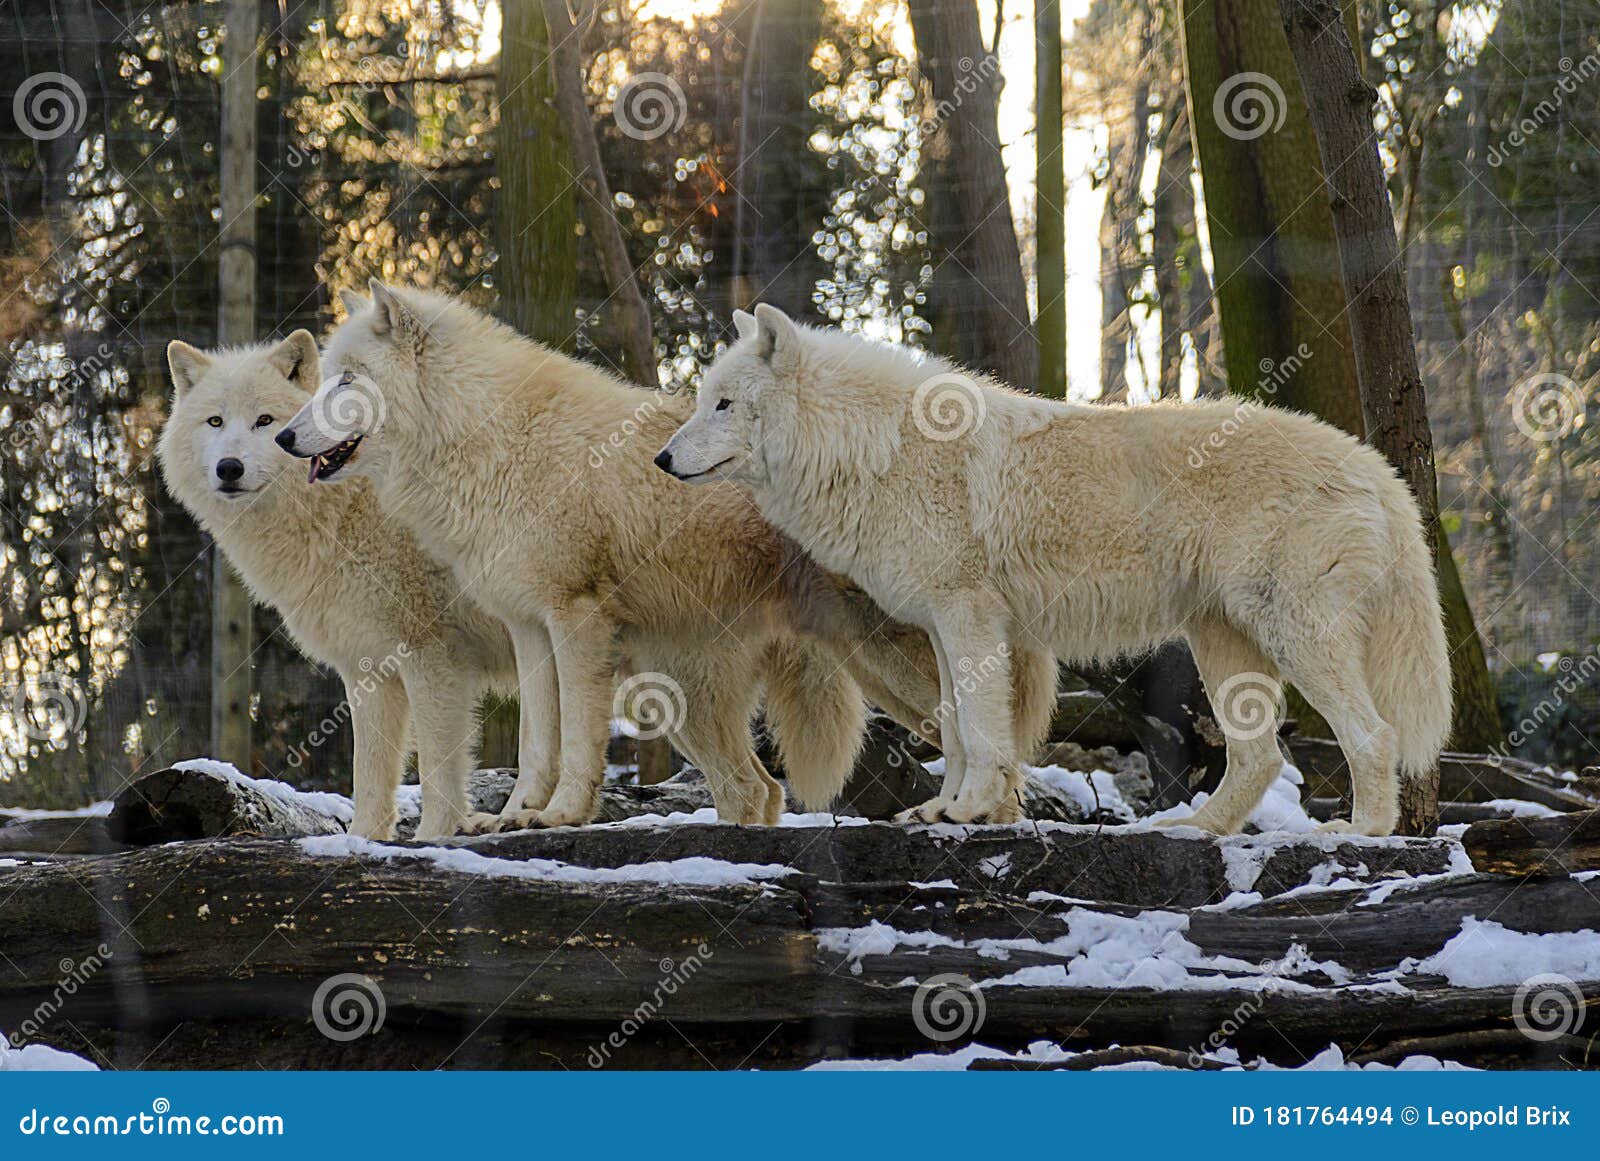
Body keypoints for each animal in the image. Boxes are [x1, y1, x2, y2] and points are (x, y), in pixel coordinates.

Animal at [158, 333, 517, 840]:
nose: (229, 468)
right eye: (215, 421)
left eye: (264, 421)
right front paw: (363, 842)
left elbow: (437, 770)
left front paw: (433, 839)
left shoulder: (432, 654)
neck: (347, 505)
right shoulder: (369, 666)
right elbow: (369, 774)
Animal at [276, 283, 1057, 830]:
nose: (283, 437)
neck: (490, 437)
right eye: (326, 376)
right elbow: (535, 740)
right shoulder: (528, 625)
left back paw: (978, 818)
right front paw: (516, 815)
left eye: (347, 379)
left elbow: (576, 740)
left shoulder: (574, 617)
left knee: (1002, 746)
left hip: (898, 661)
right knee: (759, 789)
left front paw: (563, 814)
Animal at [657, 305, 1453, 836]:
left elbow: (981, 732)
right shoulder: (945, 626)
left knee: (1375, 735)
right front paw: (946, 808)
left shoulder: (969, 614)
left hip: (1292, 634)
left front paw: (972, 809)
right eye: (699, 402)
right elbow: (957, 726)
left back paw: (1360, 832)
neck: (874, 449)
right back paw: (1190, 830)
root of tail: (1373, 465)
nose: (663, 459)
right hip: (1223, 641)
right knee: (1256, 758)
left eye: (723, 405)